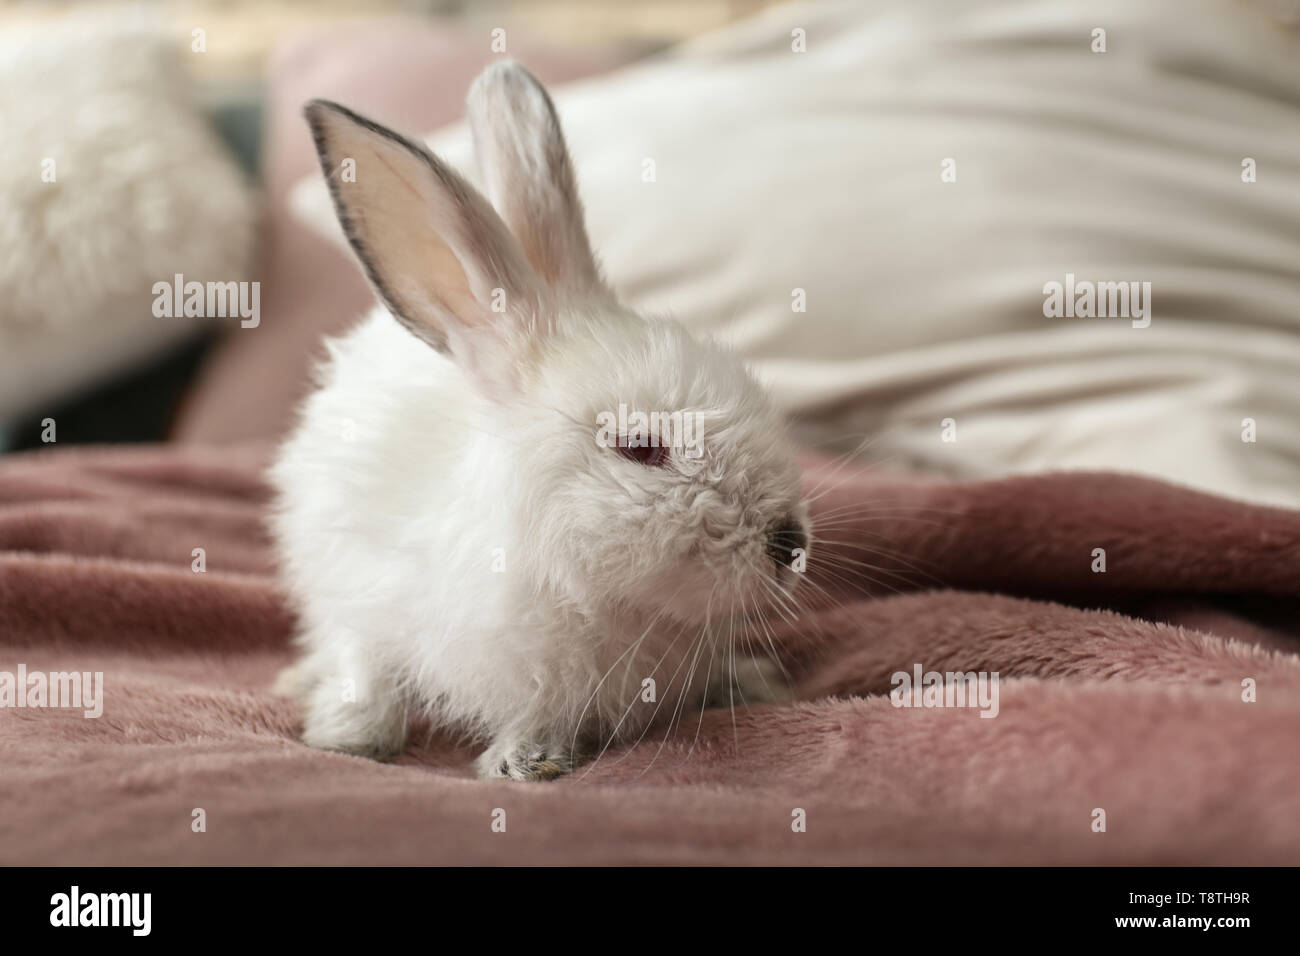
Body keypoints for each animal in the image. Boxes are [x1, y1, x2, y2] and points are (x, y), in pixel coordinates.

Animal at [270, 61, 810, 781]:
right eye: (640, 447)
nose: (790, 543)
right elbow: (368, 672)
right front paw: (348, 738)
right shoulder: (364, 594)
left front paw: (531, 759)